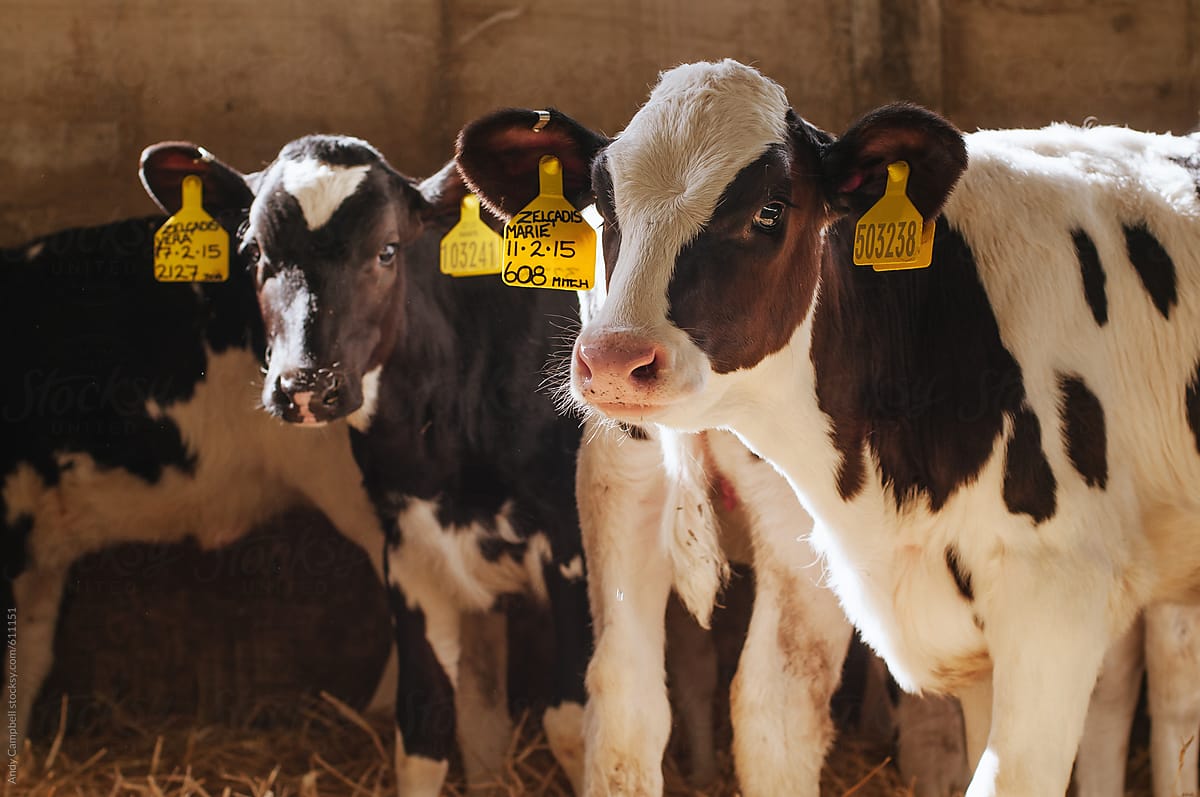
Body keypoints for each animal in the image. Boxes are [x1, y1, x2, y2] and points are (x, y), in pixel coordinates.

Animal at [137, 134, 596, 796]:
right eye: (255, 254)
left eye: (387, 251)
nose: (306, 386)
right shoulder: (413, 553)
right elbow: (424, 730)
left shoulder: (576, 551)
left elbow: (579, 724)